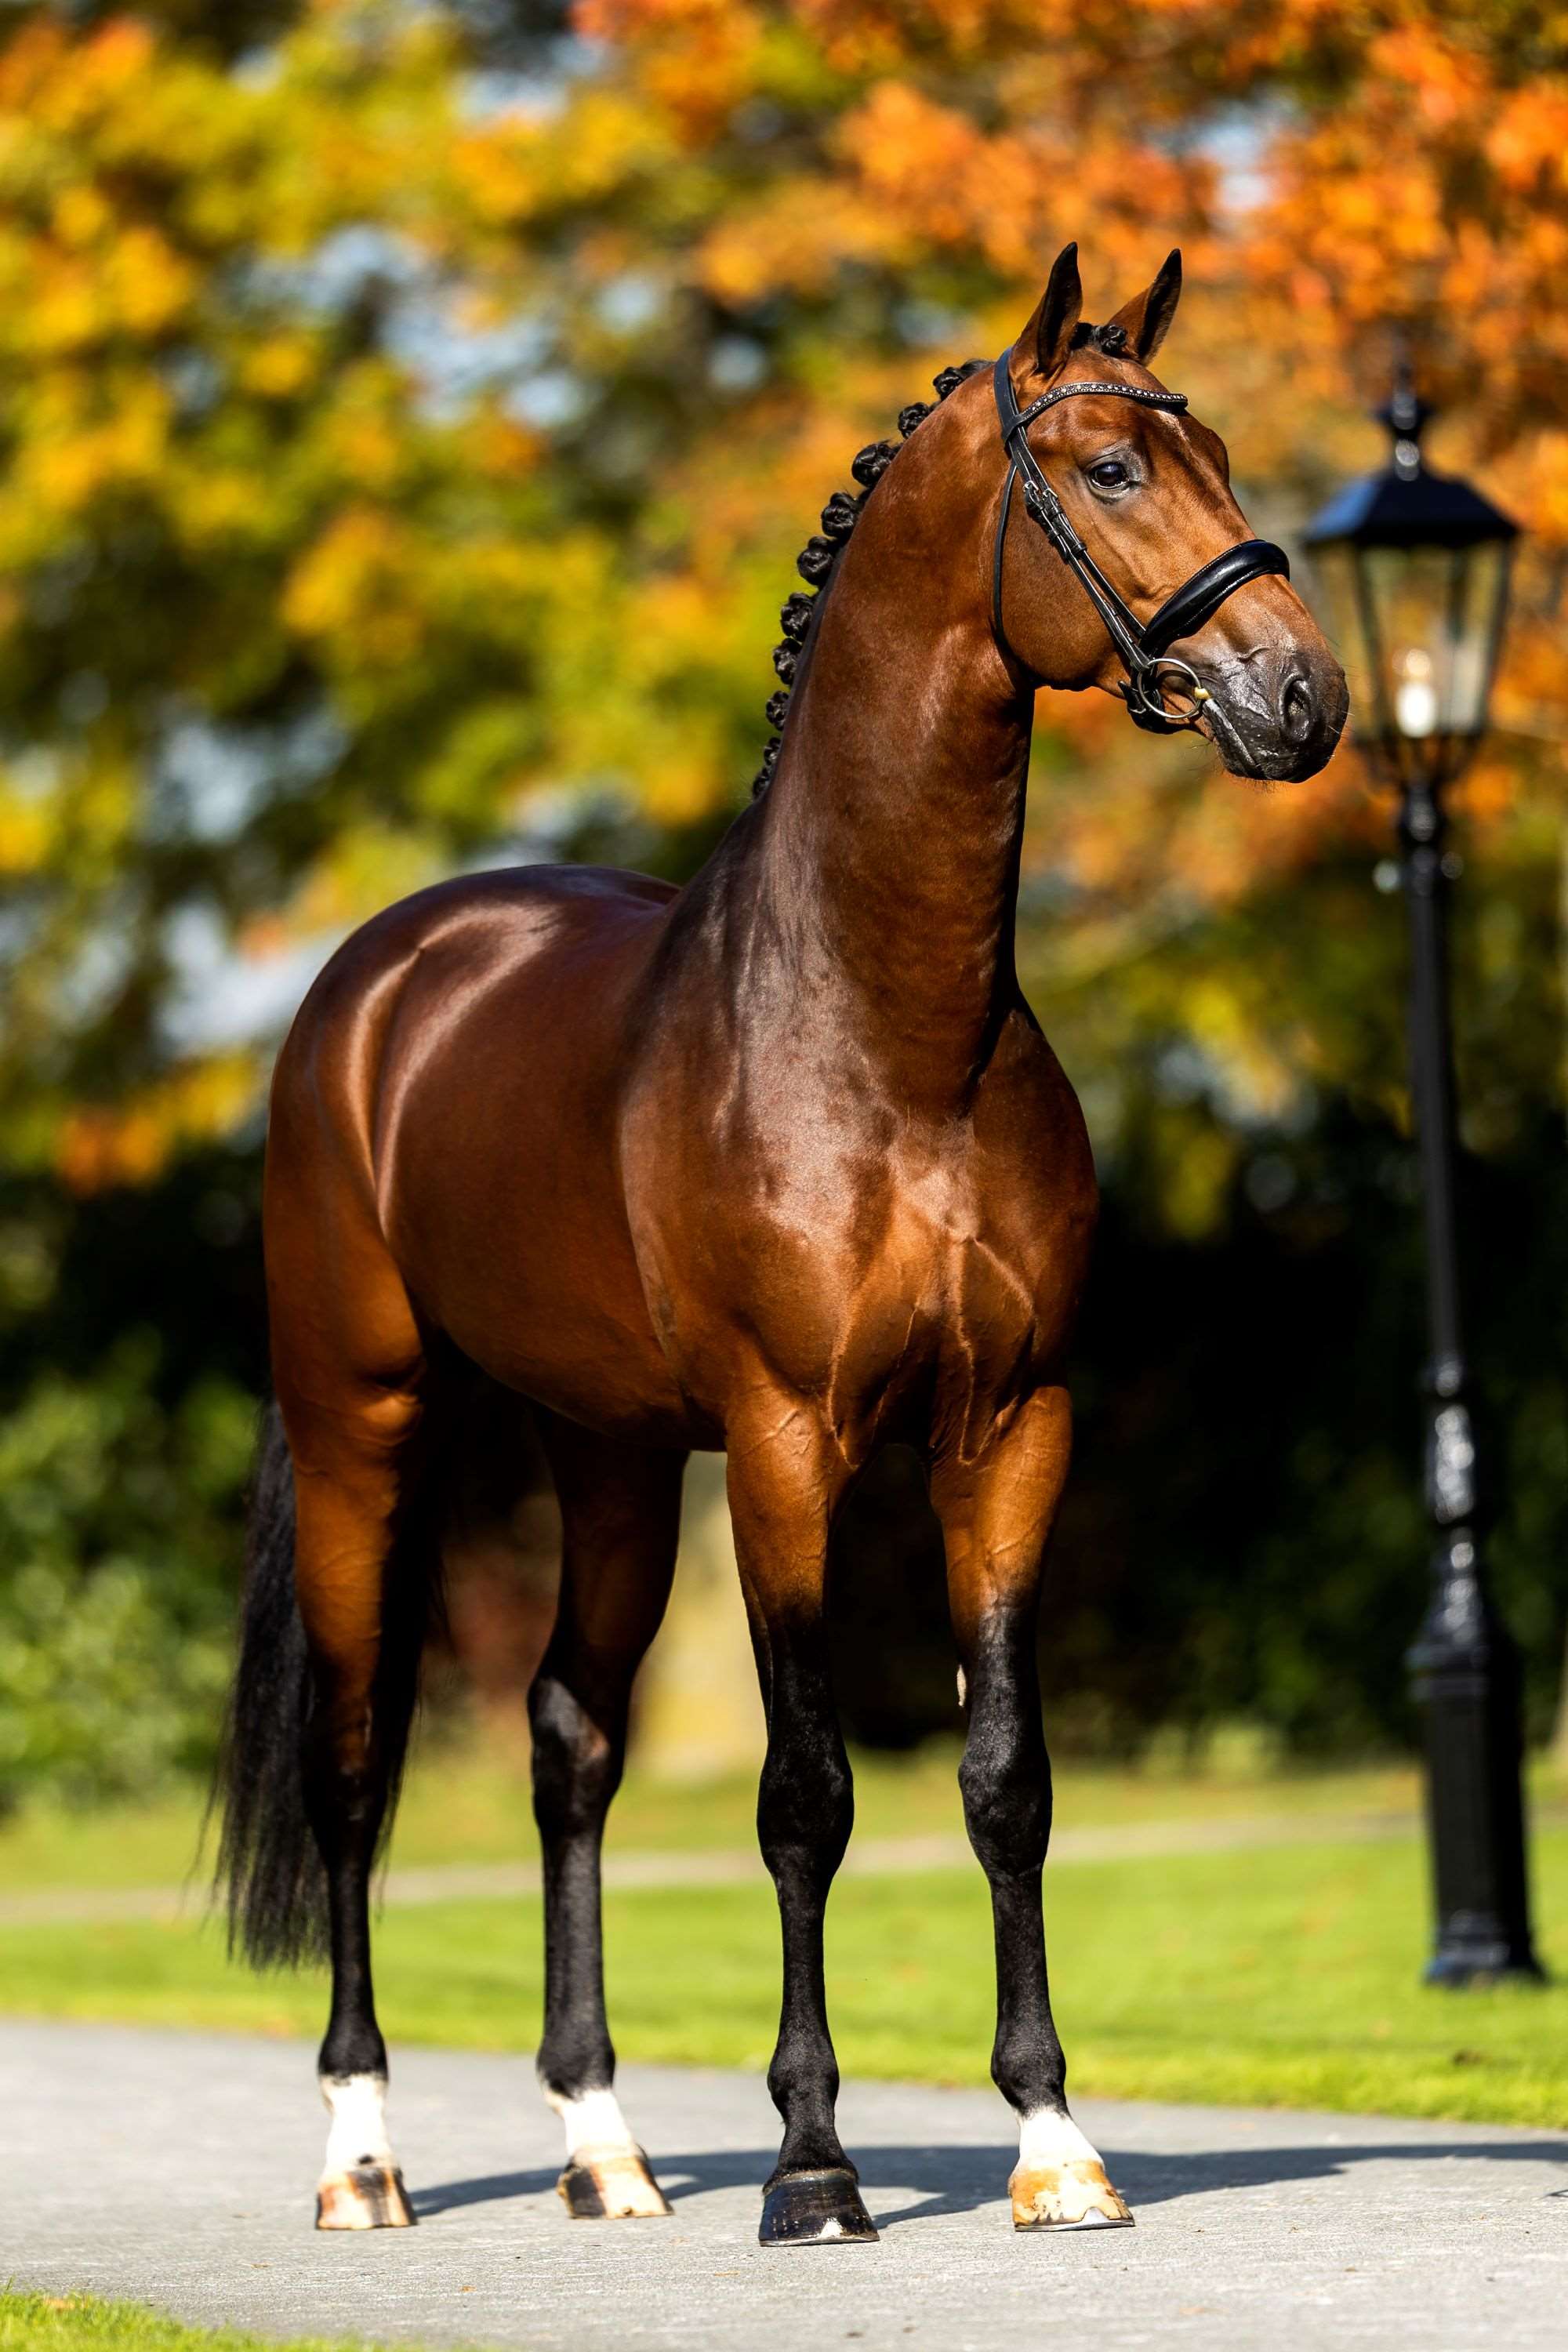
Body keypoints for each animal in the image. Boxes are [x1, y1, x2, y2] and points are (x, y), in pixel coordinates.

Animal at [216, 244, 1347, 2247]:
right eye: (1111, 469)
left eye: (1209, 447)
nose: (1299, 695)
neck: (886, 1036)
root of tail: (380, 978)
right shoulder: (788, 1447)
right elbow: (804, 1791)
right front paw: (814, 2162)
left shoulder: (1010, 1431)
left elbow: (1003, 1779)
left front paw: (1053, 2140)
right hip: (363, 1425)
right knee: (351, 1767)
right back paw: (362, 2156)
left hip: (603, 1458)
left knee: (569, 1742)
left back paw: (604, 2148)